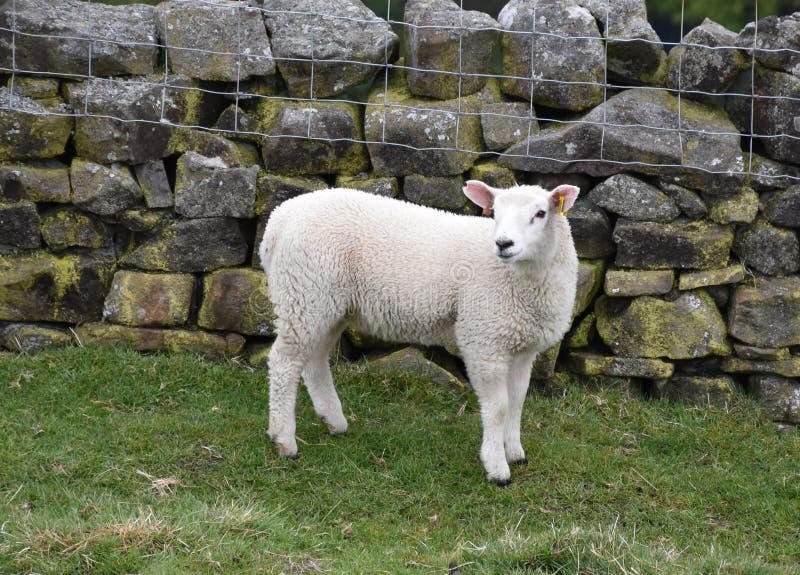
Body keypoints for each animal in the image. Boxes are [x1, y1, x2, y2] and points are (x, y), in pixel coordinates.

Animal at [259, 180, 580, 485]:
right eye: (495, 212)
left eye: (540, 214)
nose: (503, 243)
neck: (521, 277)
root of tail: (279, 219)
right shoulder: (483, 339)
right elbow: (498, 407)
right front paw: (497, 467)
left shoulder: (523, 346)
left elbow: (517, 401)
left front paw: (515, 453)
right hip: (304, 292)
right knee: (285, 362)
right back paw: (284, 440)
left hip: (328, 305)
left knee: (314, 361)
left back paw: (334, 422)